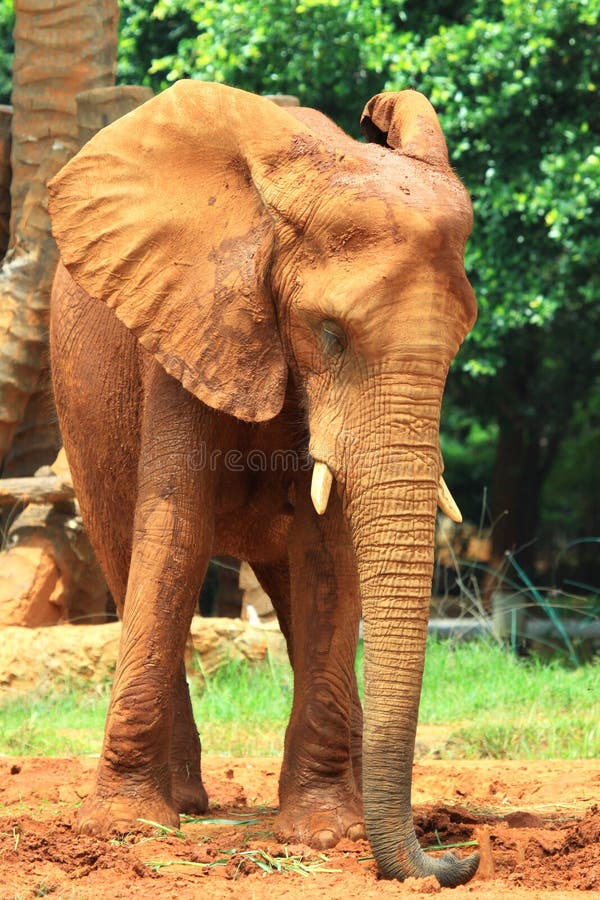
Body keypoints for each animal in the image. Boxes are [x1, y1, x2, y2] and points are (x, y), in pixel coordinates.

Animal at [47, 81, 479, 887]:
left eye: (460, 340)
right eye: (329, 332)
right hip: (79, 413)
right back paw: (186, 802)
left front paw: (324, 834)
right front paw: (124, 829)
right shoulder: (191, 320)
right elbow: (175, 530)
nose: (458, 857)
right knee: (126, 555)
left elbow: (327, 555)